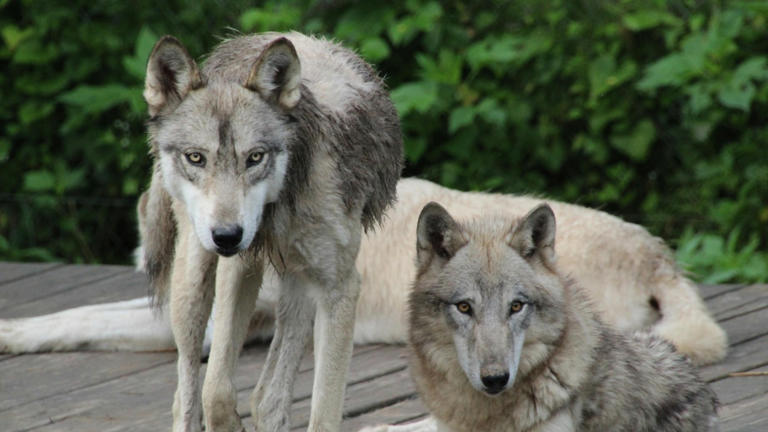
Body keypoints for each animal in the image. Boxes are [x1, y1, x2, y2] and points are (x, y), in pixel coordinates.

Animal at [137, 31, 402, 432]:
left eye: (255, 157)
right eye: (196, 157)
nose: (227, 235)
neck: (279, 208)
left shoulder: (340, 289)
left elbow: (324, 412)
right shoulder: (235, 268)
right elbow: (215, 393)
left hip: (299, 282)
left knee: (266, 399)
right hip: (195, 282)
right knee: (188, 388)